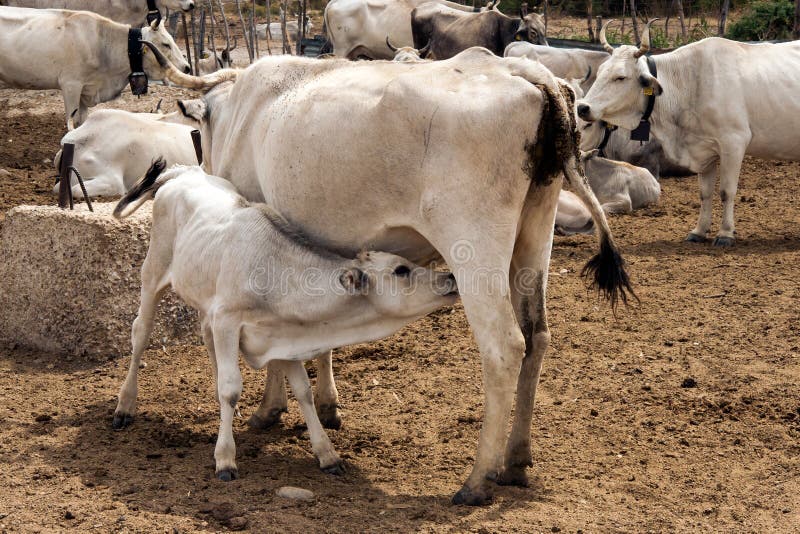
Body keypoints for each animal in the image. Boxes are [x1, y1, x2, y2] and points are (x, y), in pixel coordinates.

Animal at [0, 7, 190, 129]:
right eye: (165, 44)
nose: (187, 67)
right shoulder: (70, 85)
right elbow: (72, 121)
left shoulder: (85, 90)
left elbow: (82, 122)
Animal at [111, 160, 460, 480]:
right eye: (401, 270)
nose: (450, 278)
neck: (275, 273)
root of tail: (184, 172)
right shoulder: (227, 321)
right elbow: (231, 387)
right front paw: (225, 458)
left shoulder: (285, 335)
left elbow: (303, 390)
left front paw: (327, 454)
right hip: (152, 273)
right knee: (140, 333)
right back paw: (124, 406)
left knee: (206, 339)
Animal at [576, 19, 800, 246]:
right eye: (601, 71)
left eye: (620, 77)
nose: (583, 107)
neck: (689, 84)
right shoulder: (704, 150)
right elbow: (705, 193)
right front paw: (699, 231)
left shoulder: (734, 143)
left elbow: (726, 191)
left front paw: (725, 233)